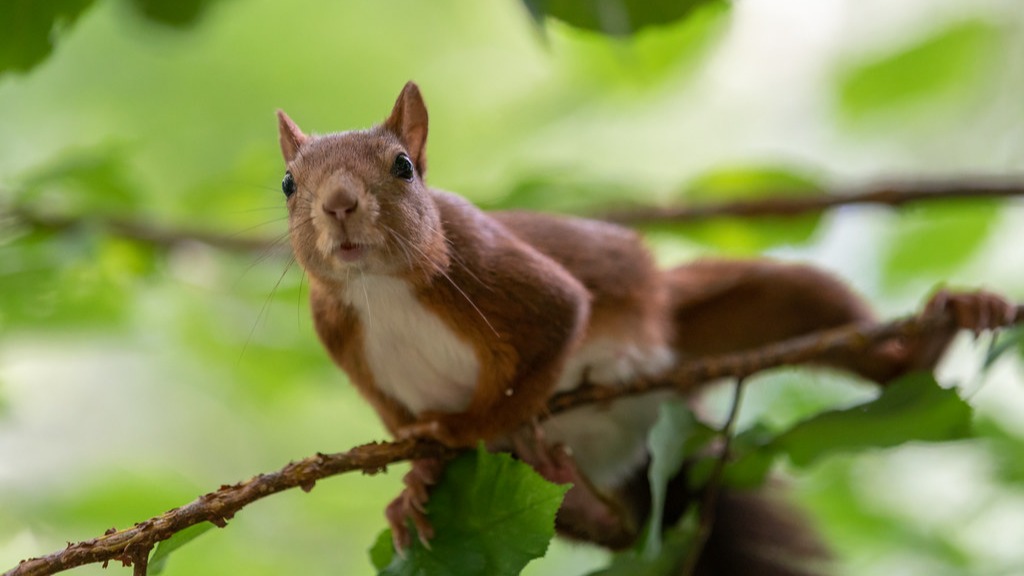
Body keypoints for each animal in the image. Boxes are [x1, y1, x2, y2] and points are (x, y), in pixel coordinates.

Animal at [277, 81, 1016, 572]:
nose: (338, 203)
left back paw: (941, 331)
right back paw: (574, 492)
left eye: (402, 167)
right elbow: (404, 423)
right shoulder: (343, 341)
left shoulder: (488, 264)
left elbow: (557, 325)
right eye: (288, 183)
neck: (379, 289)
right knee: (617, 532)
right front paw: (419, 478)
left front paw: (467, 428)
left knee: (865, 346)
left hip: (741, 307)